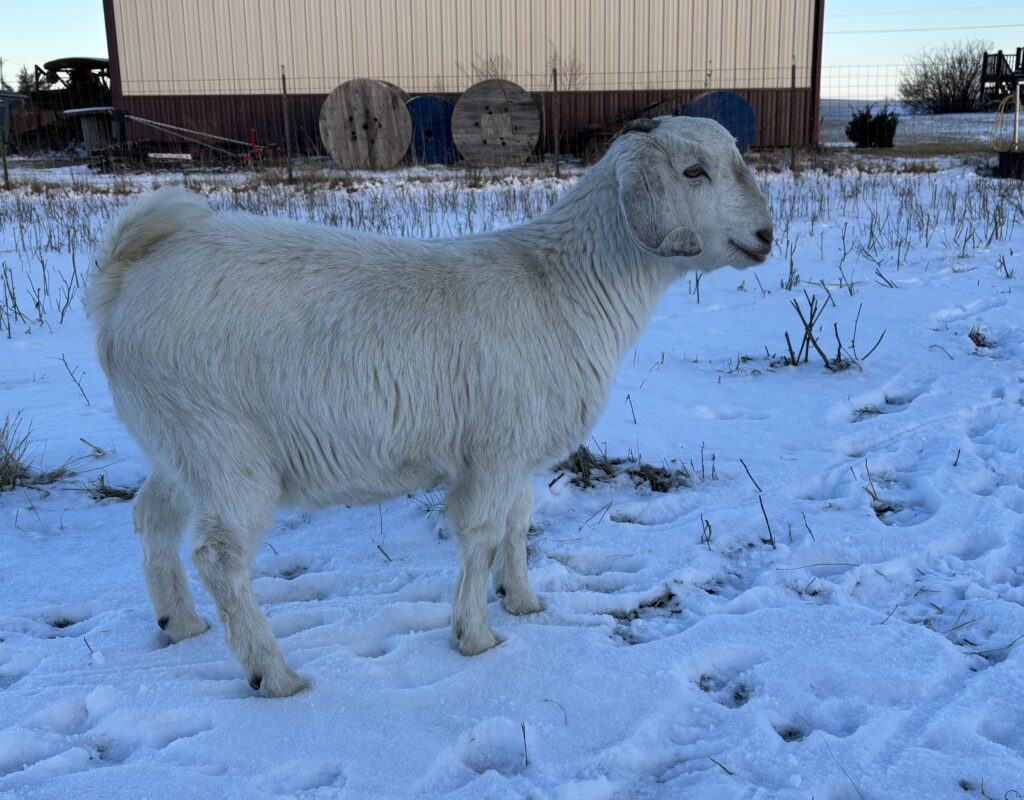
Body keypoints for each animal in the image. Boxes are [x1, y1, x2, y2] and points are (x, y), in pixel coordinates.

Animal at [88, 116, 773, 696]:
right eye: (693, 171)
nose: (766, 236)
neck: (564, 284)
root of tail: (129, 270)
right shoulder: (492, 451)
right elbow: (480, 534)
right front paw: (476, 637)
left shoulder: (515, 451)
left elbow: (518, 523)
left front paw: (522, 601)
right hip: (225, 448)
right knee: (220, 556)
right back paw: (274, 675)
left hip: (176, 444)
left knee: (152, 517)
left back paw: (180, 625)